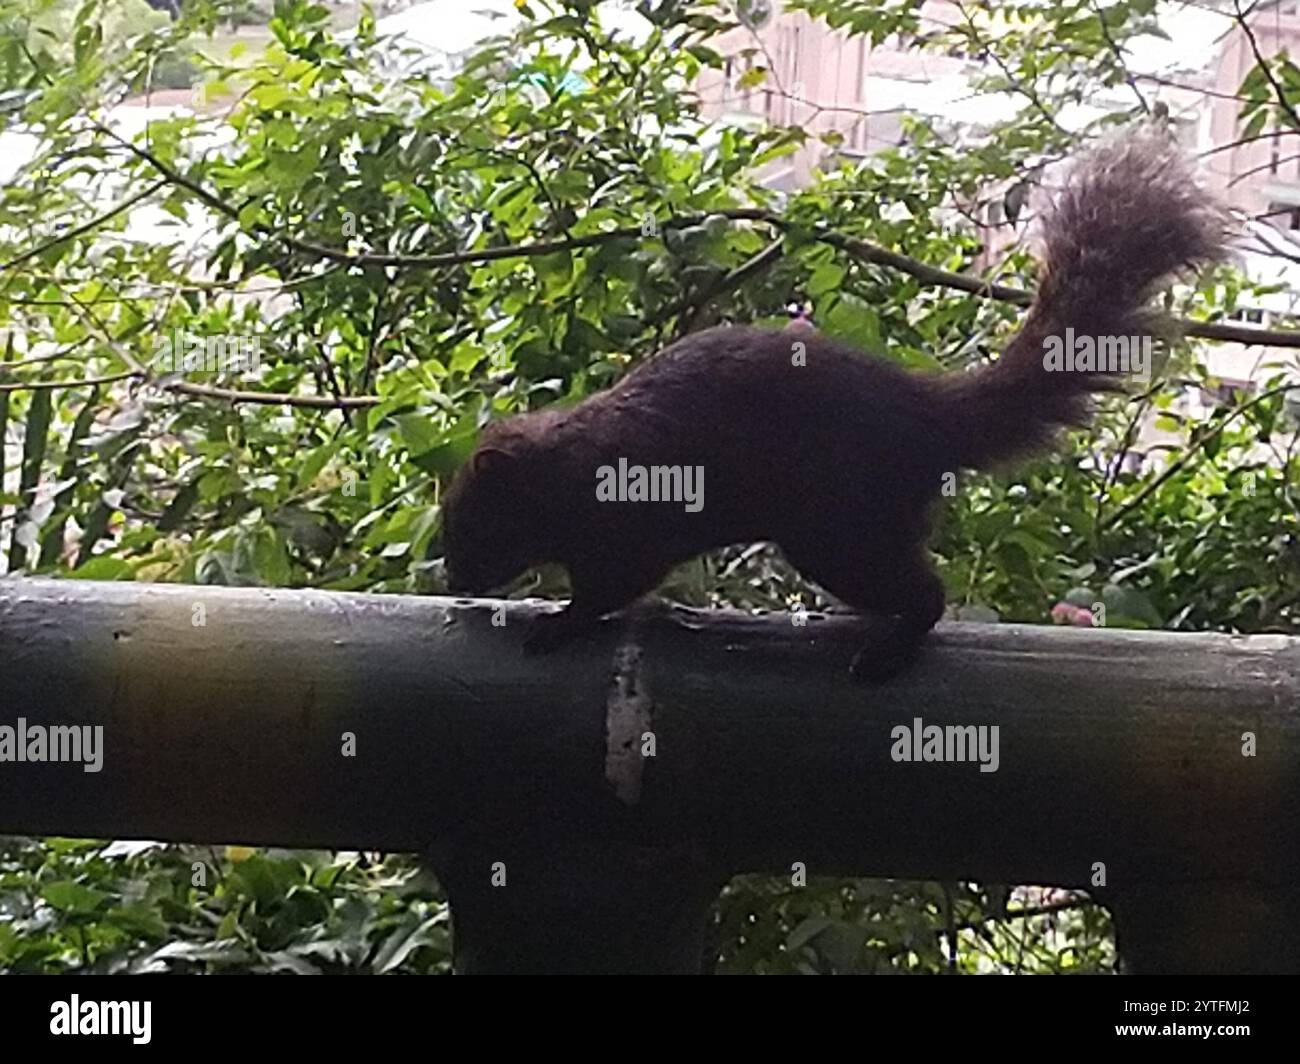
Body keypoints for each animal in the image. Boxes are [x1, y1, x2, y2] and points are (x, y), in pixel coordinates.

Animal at [441, 130, 1230, 681]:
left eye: (474, 523)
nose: (455, 584)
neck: (563, 465)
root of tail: (929, 418)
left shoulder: (625, 531)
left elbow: (611, 589)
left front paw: (557, 621)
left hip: (838, 530)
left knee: (926, 596)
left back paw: (886, 650)